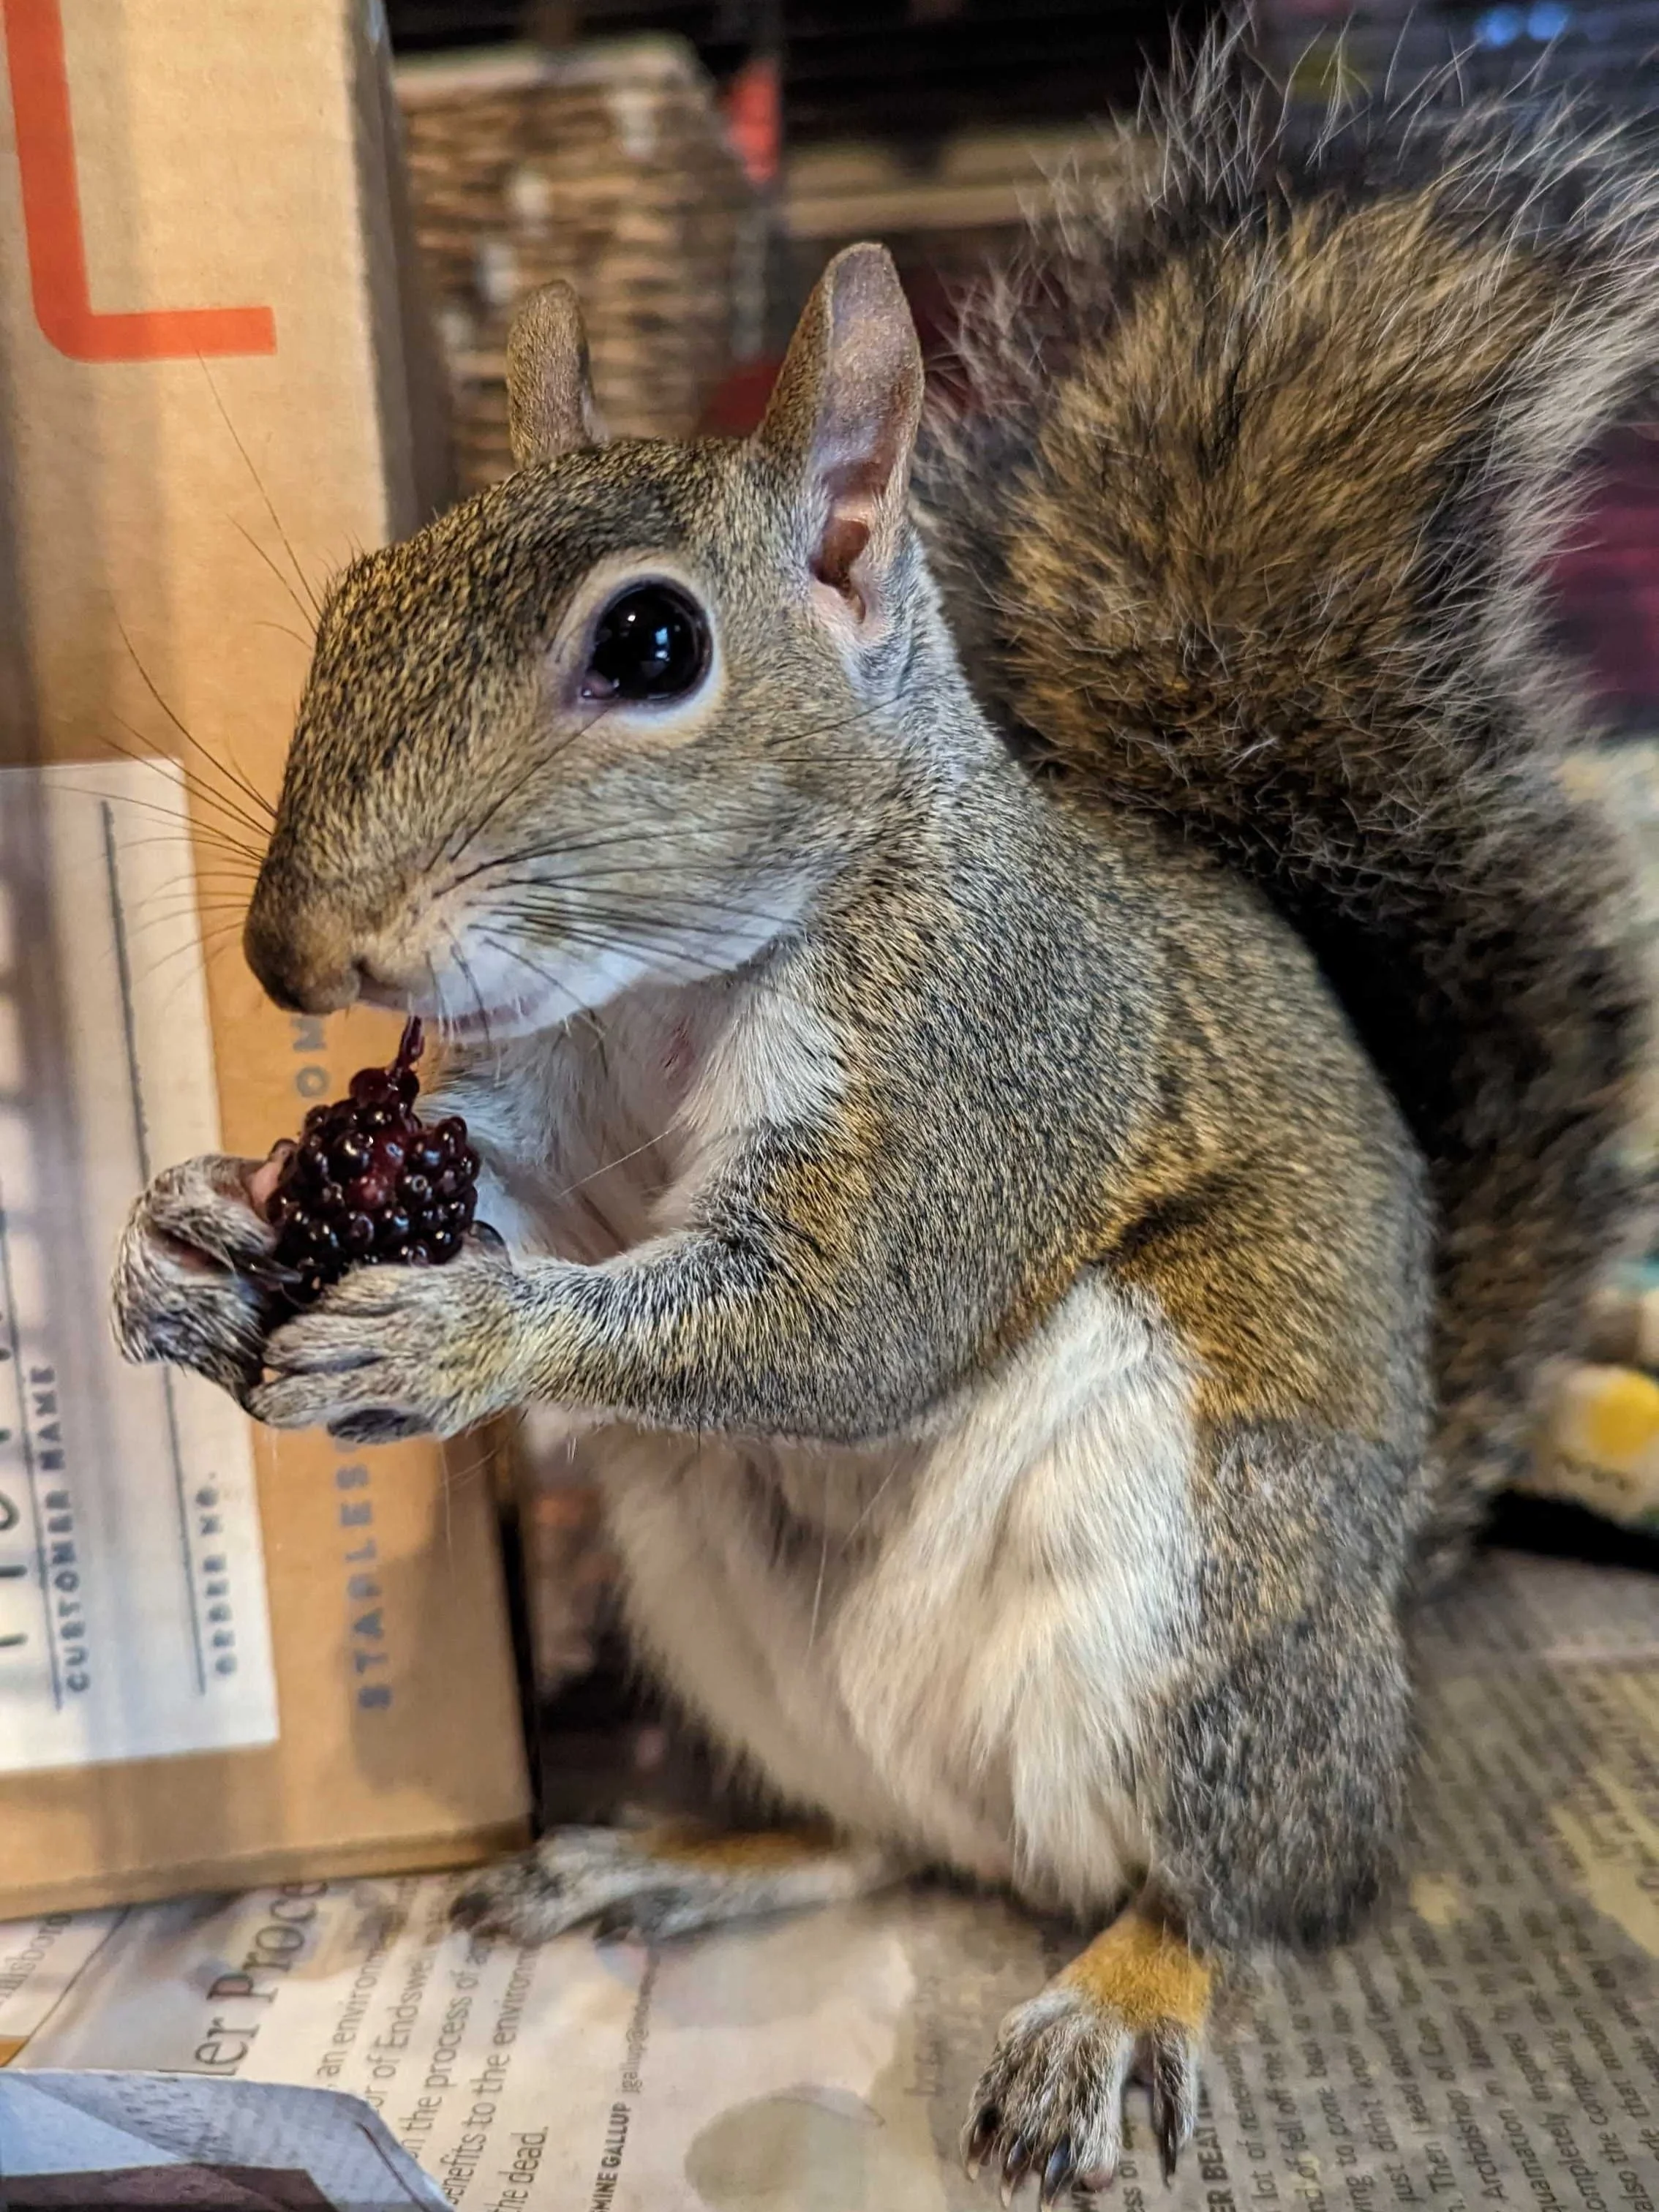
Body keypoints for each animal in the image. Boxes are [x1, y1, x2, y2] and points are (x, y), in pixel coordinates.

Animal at [113, 36, 1652, 2200]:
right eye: (360, 590)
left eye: (652, 643)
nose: (289, 953)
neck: (663, 994)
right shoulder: (543, 1118)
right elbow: (503, 1198)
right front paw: (195, 1236)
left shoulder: (983, 1054)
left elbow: (848, 1318)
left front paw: (457, 1334)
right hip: (729, 1620)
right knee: (873, 1842)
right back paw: (672, 1859)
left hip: (1207, 1602)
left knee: (1231, 1886)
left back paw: (1119, 2004)